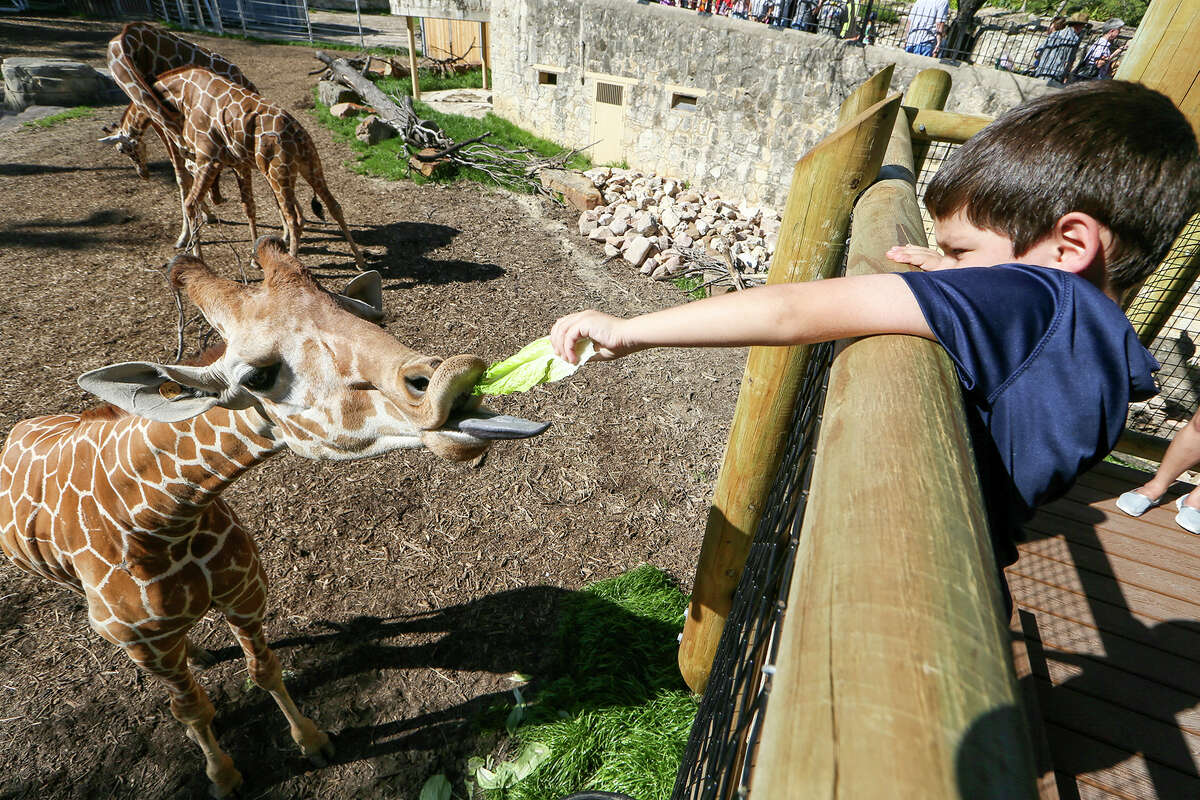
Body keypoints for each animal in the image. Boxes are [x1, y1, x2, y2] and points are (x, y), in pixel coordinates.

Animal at [0, 237, 549, 798]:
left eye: (371, 316)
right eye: (258, 377)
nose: (456, 381)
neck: (161, 520)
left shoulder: (246, 594)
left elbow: (264, 669)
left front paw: (313, 742)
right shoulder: (143, 644)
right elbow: (190, 708)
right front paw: (224, 777)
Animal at [102, 22, 256, 248]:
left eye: (122, 150)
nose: (143, 174)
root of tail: (240, 73)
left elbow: (186, 173)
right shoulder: (160, 122)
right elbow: (182, 177)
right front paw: (188, 233)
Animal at [110, 66, 367, 270]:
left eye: (122, 150)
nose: (142, 174)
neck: (181, 95)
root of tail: (297, 133)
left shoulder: (208, 159)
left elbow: (190, 203)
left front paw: (196, 256)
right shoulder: (239, 164)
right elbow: (249, 208)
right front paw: (254, 258)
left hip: (276, 171)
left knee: (294, 218)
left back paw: (294, 261)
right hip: (309, 164)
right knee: (333, 205)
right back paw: (360, 261)